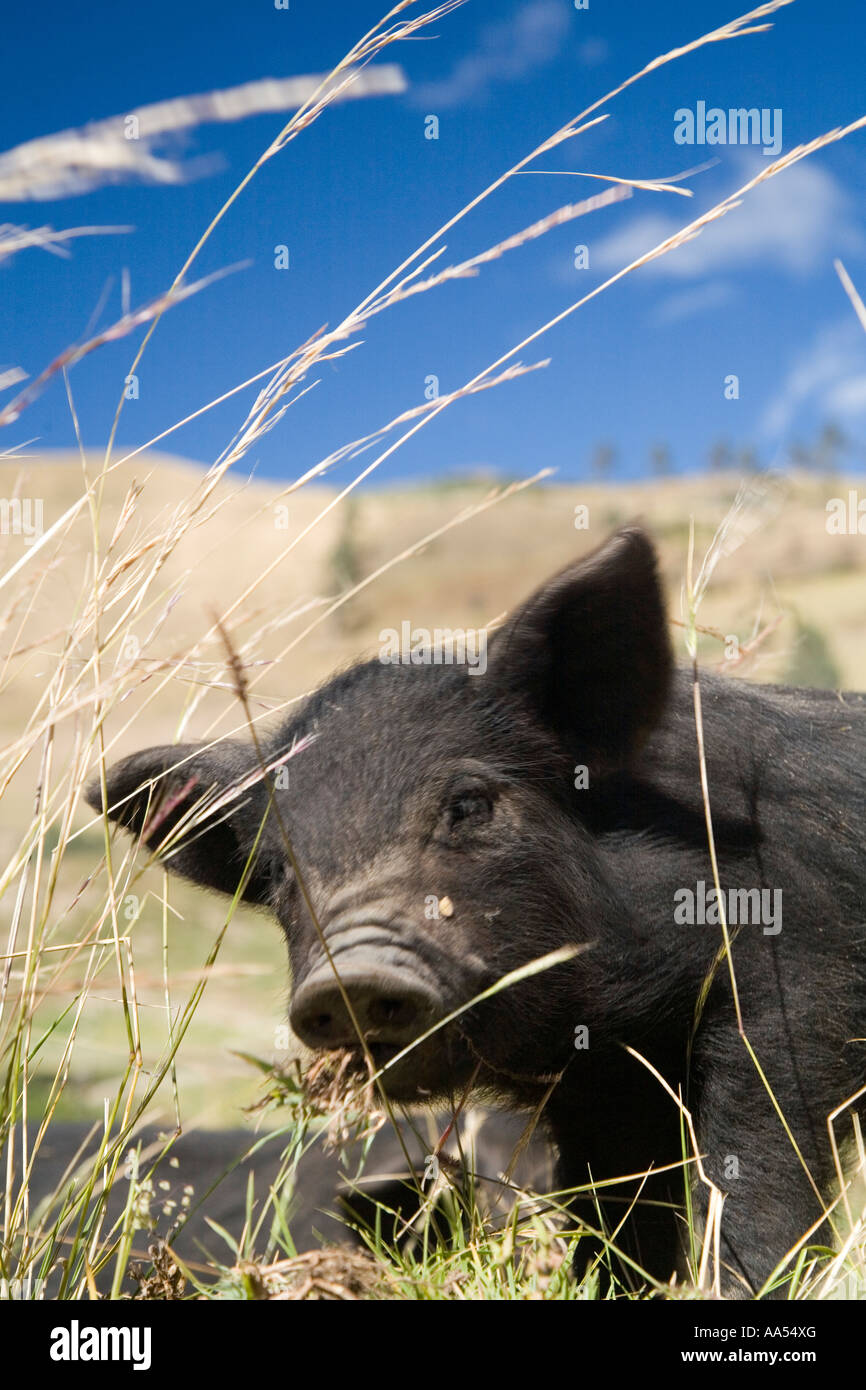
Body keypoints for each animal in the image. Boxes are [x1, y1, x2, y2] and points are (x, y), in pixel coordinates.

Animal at [87, 527, 866, 1298]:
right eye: (279, 870)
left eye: (468, 805)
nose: (351, 978)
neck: (622, 1021)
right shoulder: (602, 1091)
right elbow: (613, 1214)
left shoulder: (796, 994)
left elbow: (764, 1174)